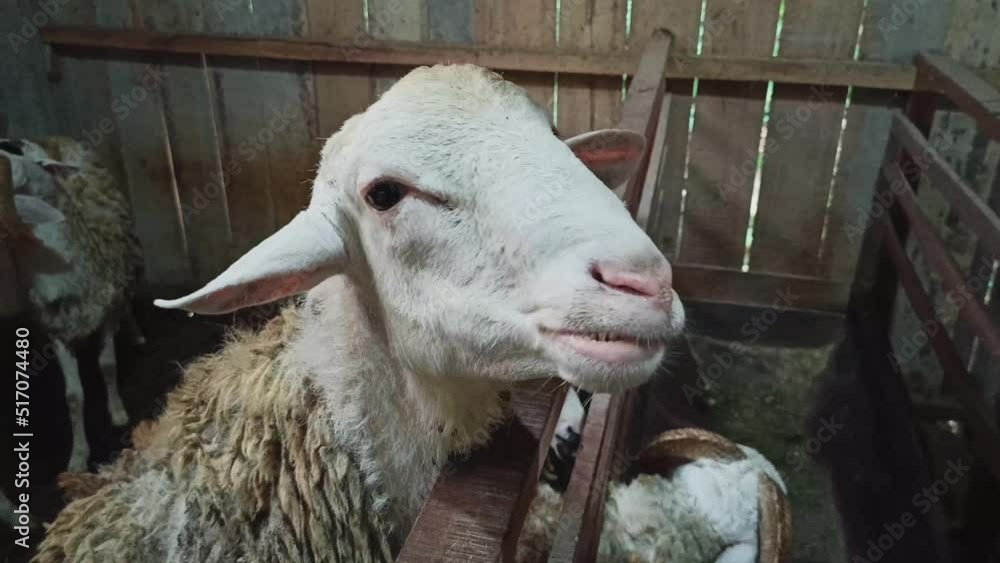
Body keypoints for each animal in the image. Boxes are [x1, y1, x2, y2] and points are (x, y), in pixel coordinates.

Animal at [1, 137, 143, 472]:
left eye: (31, 160)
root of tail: (57, 139)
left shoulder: (105, 312)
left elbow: (107, 366)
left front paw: (117, 413)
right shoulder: (55, 329)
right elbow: (73, 397)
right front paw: (78, 455)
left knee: (127, 302)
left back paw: (135, 333)